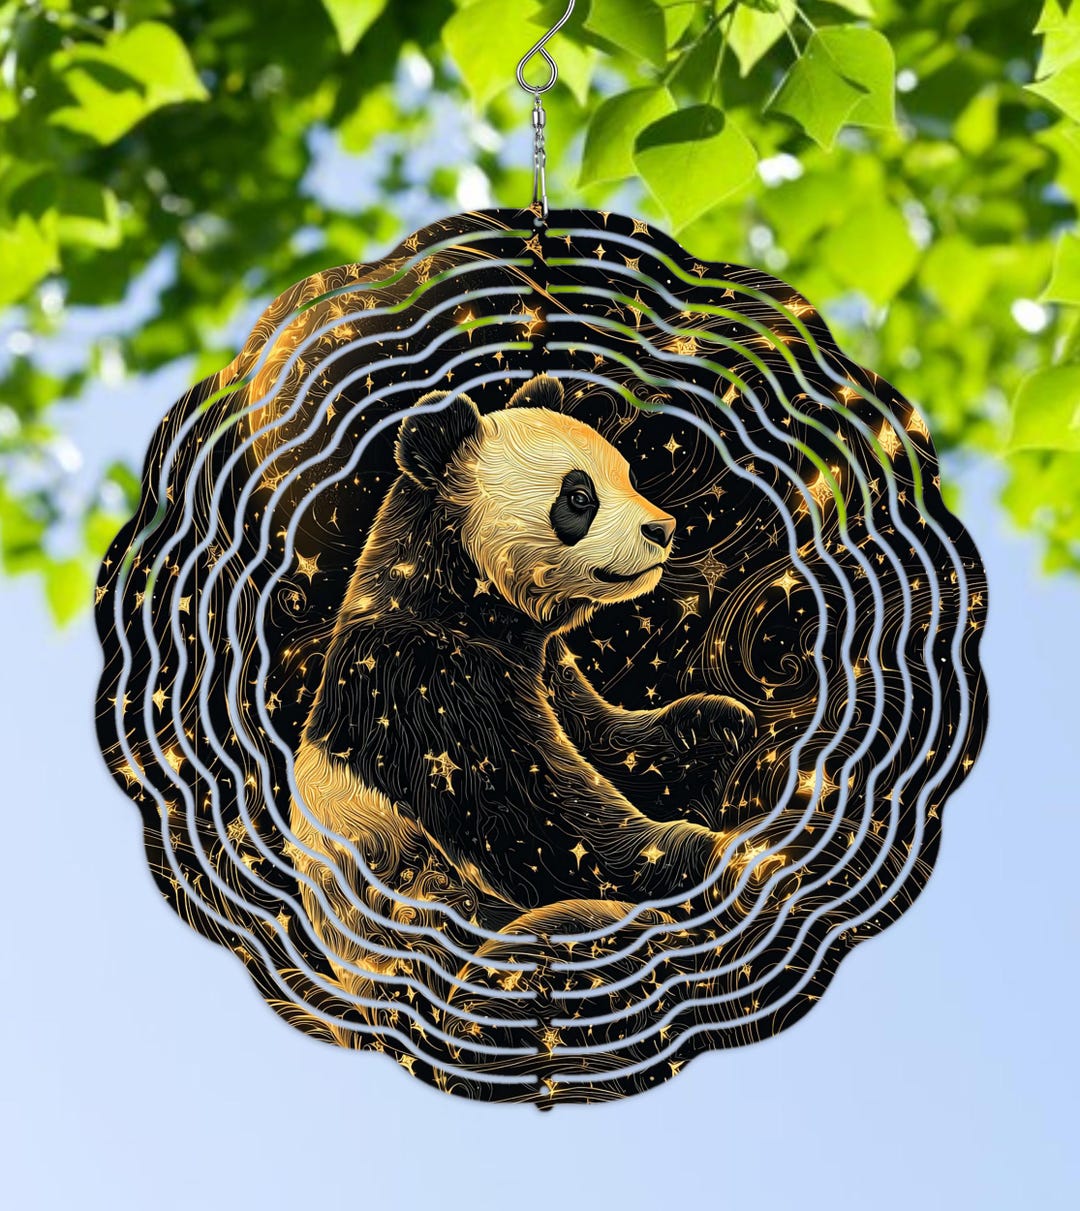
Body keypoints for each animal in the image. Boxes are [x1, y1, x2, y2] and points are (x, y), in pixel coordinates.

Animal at [290, 375, 755, 959]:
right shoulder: (420, 685)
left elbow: (607, 739)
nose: (662, 529)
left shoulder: (544, 665)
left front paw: (717, 725)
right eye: (578, 498)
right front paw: (701, 854)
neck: (461, 599)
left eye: (627, 476)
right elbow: (527, 814)